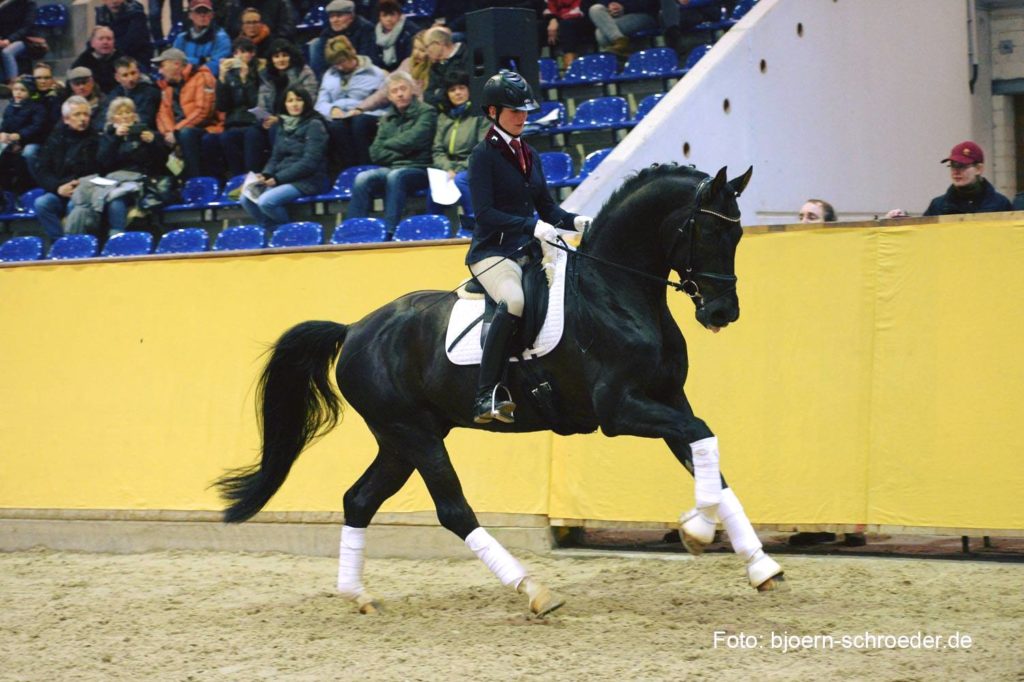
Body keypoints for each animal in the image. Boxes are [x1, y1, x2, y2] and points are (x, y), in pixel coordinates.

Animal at [214, 162, 785, 617]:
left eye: (738, 236)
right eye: (706, 232)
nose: (722, 313)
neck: (615, 292)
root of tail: (354, 329)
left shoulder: (667, 400)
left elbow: (706, 451)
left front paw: (758, 563)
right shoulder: (620, 411)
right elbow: (702, 436)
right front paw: (697, 530)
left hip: (399, 440)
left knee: (358, 500)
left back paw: (358, 595)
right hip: (415, 434)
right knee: (453, 511)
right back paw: (533, 590)